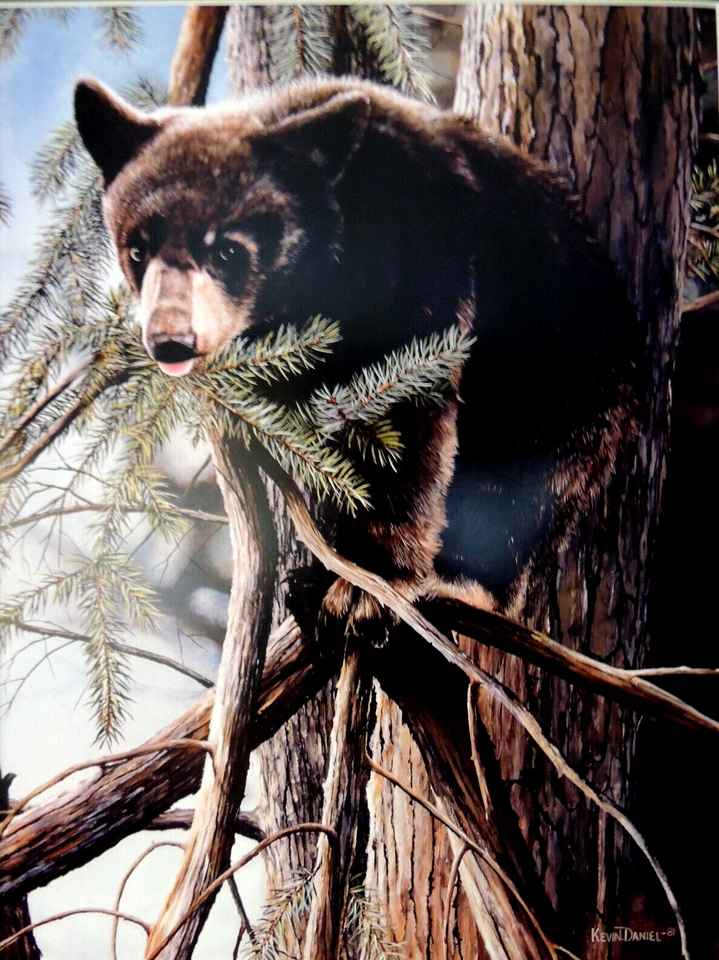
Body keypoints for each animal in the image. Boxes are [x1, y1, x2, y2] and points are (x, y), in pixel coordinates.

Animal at [73, 76, 637, 631]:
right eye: (137, 249)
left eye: (229, 251)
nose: (171, 340)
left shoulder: (421, 267)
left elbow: (406, 428)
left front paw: (368, 584)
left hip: (561, 386)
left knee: (521, 488)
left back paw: (462, 580)